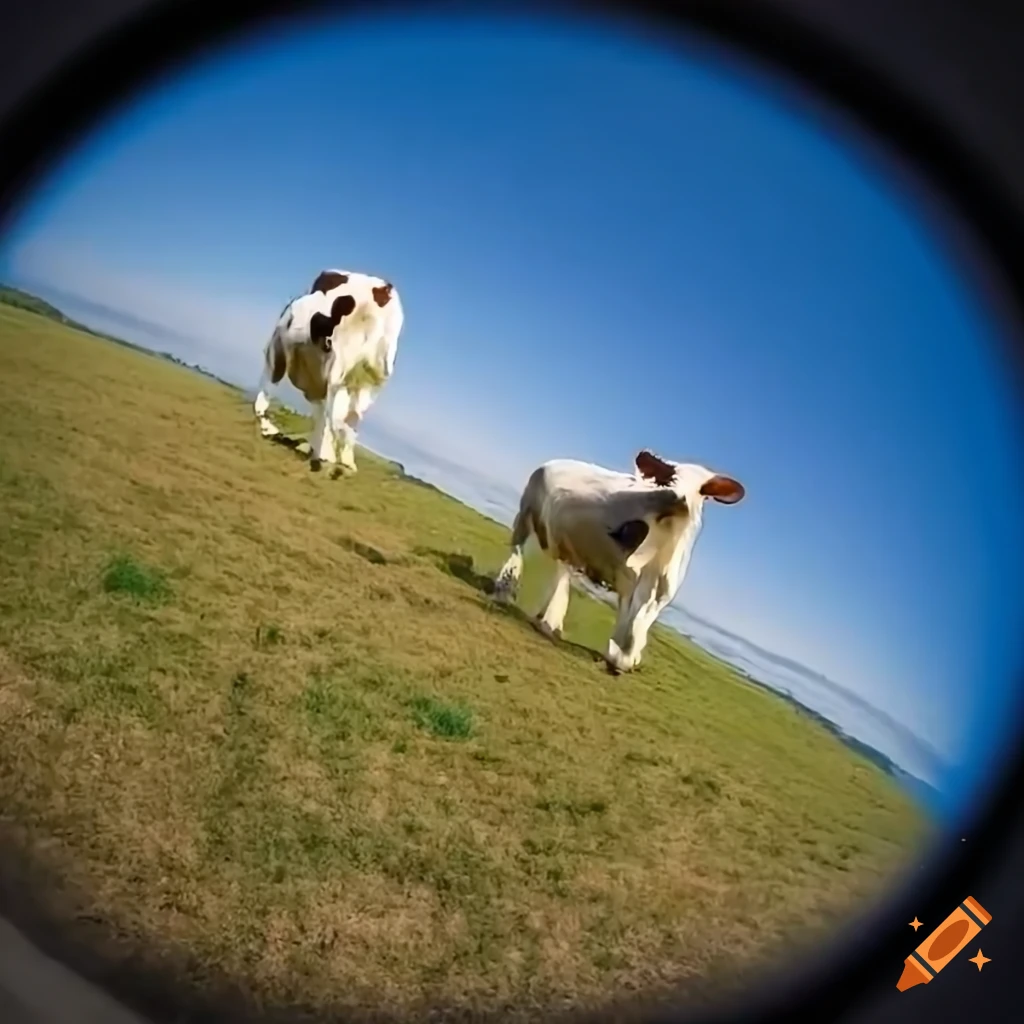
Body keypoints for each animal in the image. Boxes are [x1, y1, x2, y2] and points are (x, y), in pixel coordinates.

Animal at [492, 450, 745, 673]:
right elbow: (627, 622)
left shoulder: (662, 593)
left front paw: (629, 658)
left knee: (561, 572)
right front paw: (616, 655)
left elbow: (641, 625)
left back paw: (549, 620)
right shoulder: (627, 577)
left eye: (702, 489)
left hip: (565, 542)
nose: (679, 499)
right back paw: (505, 592)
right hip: (526, 511)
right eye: (669, 477)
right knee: (517, 549)